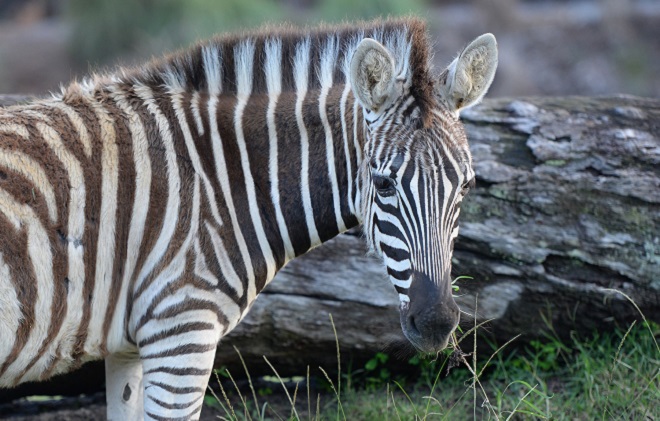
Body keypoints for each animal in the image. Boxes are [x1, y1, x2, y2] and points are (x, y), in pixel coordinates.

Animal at [0, 18, 497, 420]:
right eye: (384, 184)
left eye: (467, 186)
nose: (436, 323)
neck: (218, 175)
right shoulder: (182, 330)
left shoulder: (129, 345)